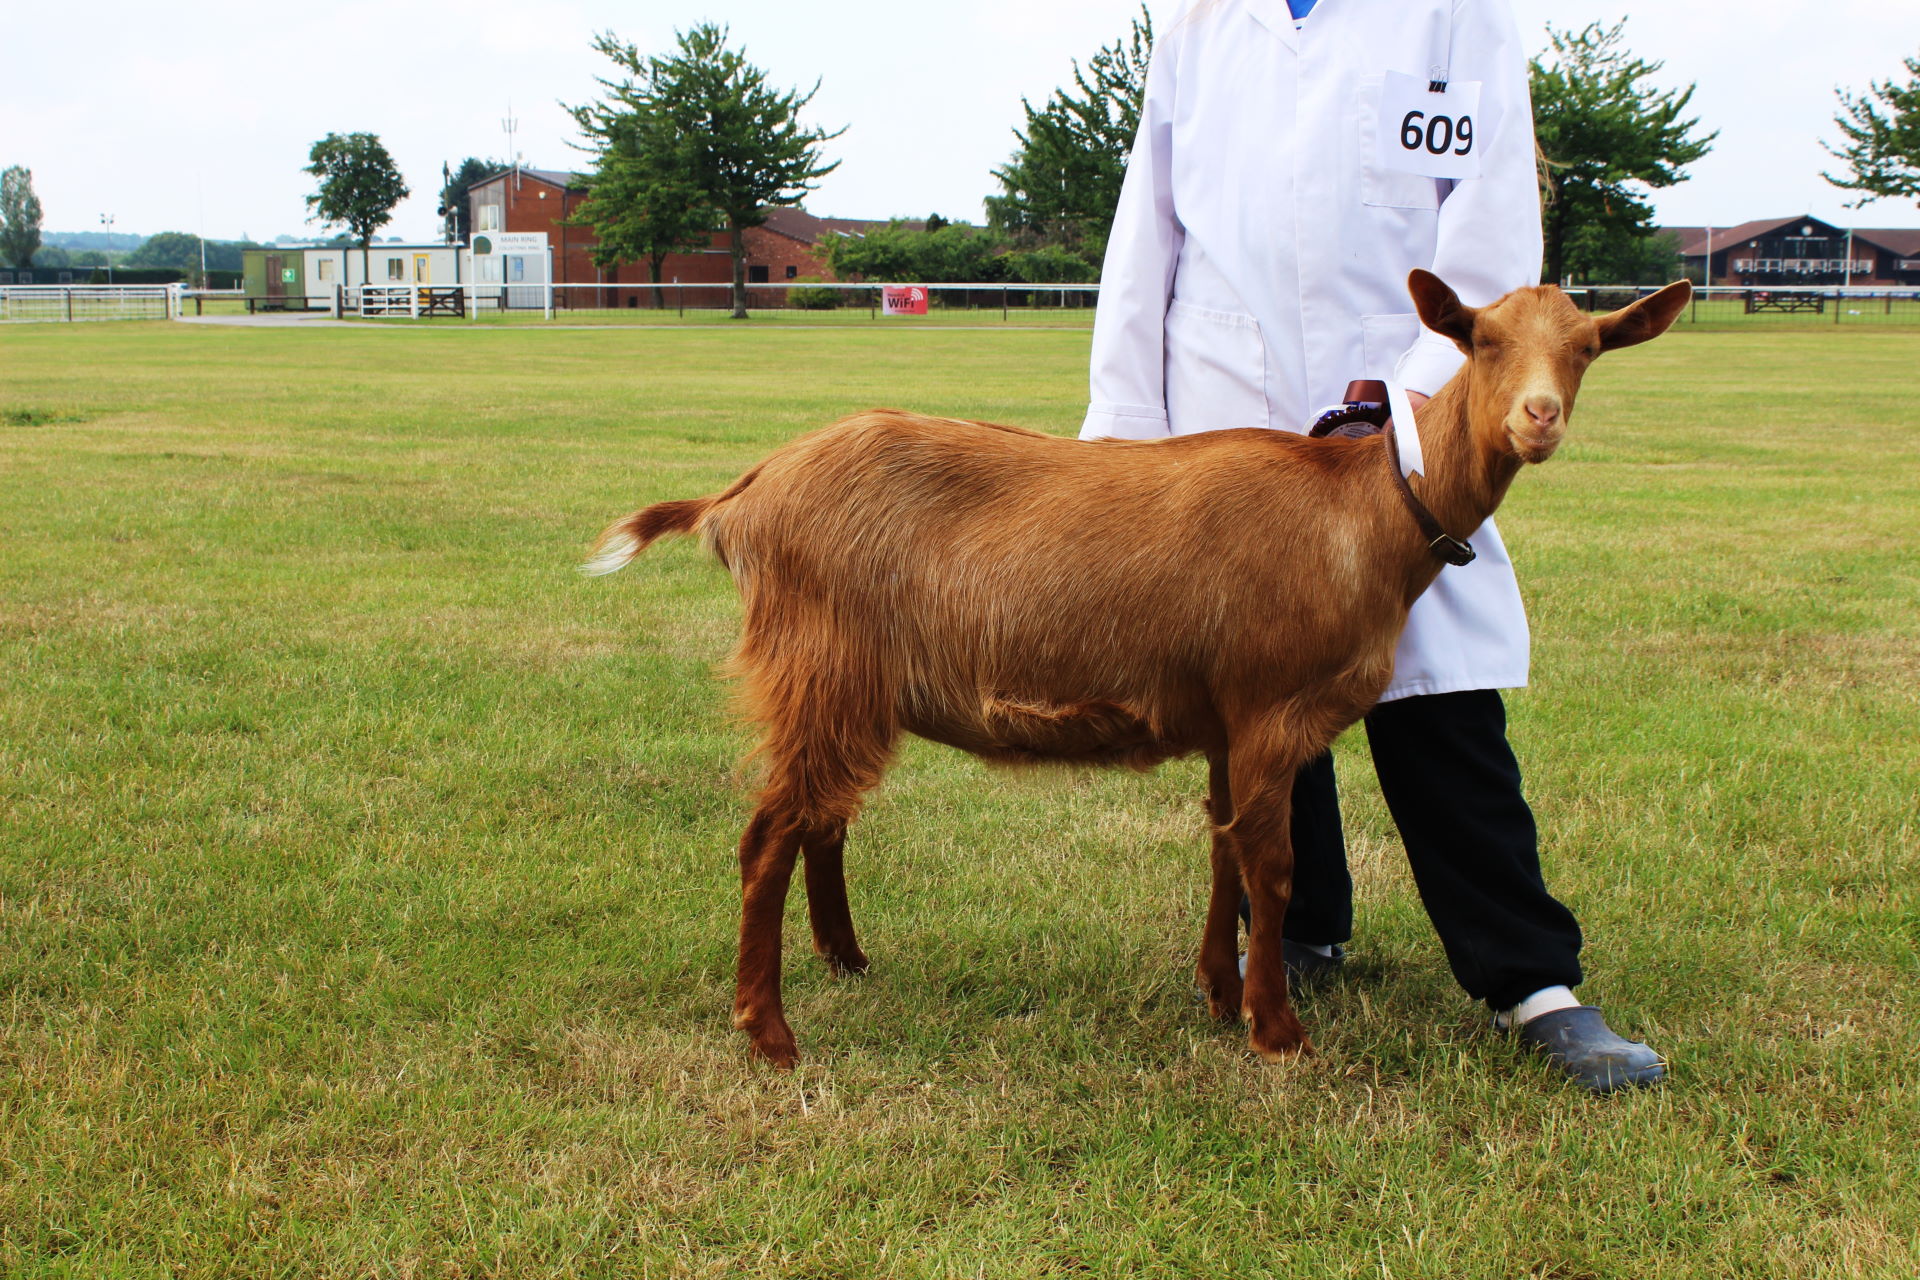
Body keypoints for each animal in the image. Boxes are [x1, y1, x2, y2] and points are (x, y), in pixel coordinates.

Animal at [585, 271, 1692, 1068]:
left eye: (1588, 348)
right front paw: (1278, 1034)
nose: (1539, 417)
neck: (1368, 514)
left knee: (823, 819)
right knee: (768, 835)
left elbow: (1226, 855)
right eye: (1484, 339)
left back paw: (848, 960)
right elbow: (1273, 867)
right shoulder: (1273, 706)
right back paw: (769, 1033)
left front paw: (1218, 992)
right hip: (821, 666)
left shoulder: (1229, 716)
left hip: (849, 686)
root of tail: (742, 497)